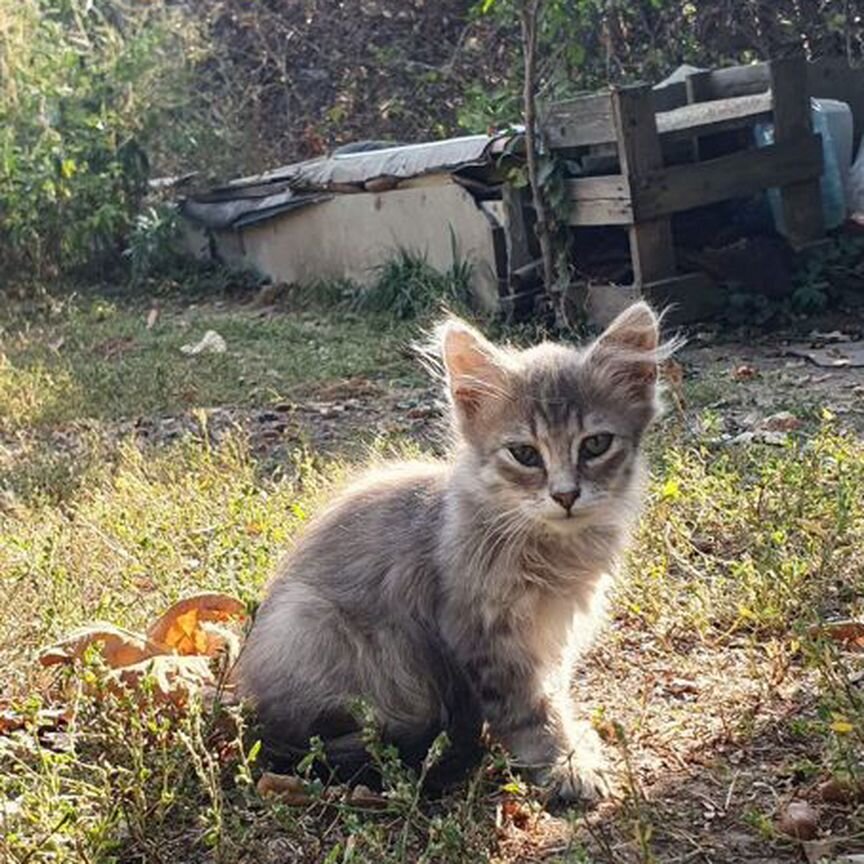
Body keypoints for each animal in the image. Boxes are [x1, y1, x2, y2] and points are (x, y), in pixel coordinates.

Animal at [236, 302, 668, 796]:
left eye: (595, 445)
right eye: (525, 454)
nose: (565, 495)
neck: (551, 550)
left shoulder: (552, 635)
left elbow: (554, 690)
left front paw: (573, 742)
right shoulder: (484, 634)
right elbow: (530, 709)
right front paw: (563, 762)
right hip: (321, 627)